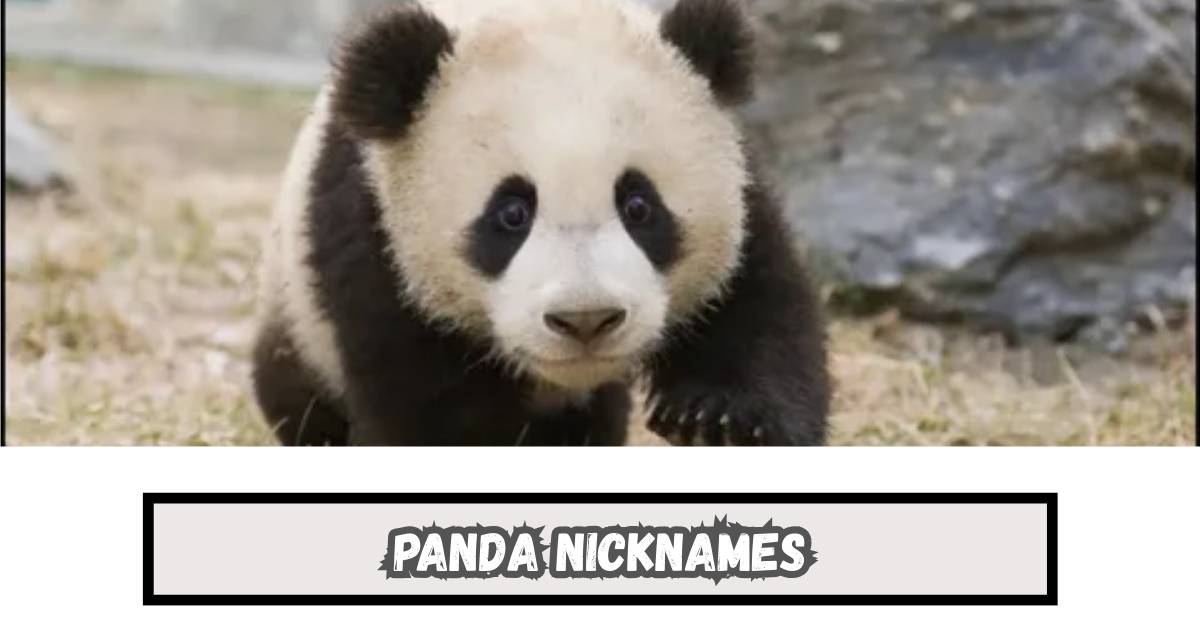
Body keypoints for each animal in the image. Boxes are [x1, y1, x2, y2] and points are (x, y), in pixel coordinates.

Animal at [252, 0, 830, 446]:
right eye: (511, 213)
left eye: (639, 206)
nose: (586, 320)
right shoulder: (374, 231)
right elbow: (429, 403)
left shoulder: (740, 186)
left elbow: (759, 308)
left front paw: (720, 418)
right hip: (298, 319)